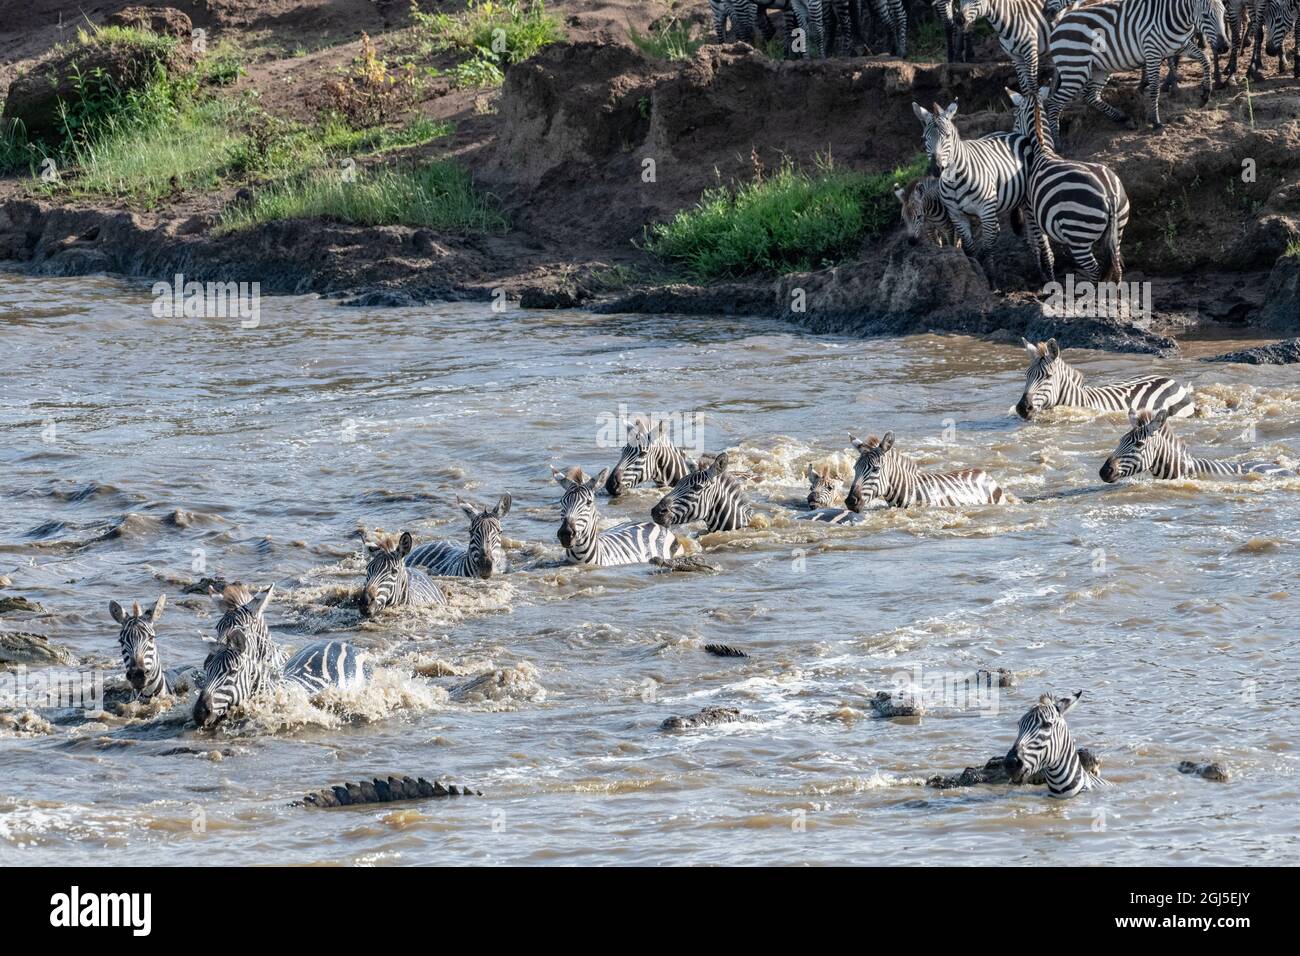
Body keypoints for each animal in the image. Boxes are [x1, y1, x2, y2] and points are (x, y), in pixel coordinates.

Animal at [911, 100, 1032, 256]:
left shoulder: (986, 211)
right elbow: (969, 248)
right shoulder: (956, 215)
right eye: (924, 139)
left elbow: (987, 247)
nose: (936, 168)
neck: (954, 182)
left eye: (948, 136)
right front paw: (973, 261)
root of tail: (1004, 132)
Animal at [1020, 92, 1130, 283]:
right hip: (1118, 229)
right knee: (1117, 269)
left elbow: (1043, 247)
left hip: (1079, 234)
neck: (1043, 150)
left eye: (1015, 116)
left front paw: (1048, 279)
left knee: (1094, 270)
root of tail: (1109, 193)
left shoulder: (1032, 211)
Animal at [1046, 0, 1230, 134]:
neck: (1177, 20)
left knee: (1091, 95)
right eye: (1205, 16)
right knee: (1054, 103)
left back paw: (1122, 117)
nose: (1224, 47)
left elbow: (1205, 59)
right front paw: (1156, 122)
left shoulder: (1181, 46)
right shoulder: (1152, 52)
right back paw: (1056, 143)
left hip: (1100, 68)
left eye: (1223, 13)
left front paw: (1205, 94)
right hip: (1075, 68)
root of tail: (1058, 25)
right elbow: (1154, 89)